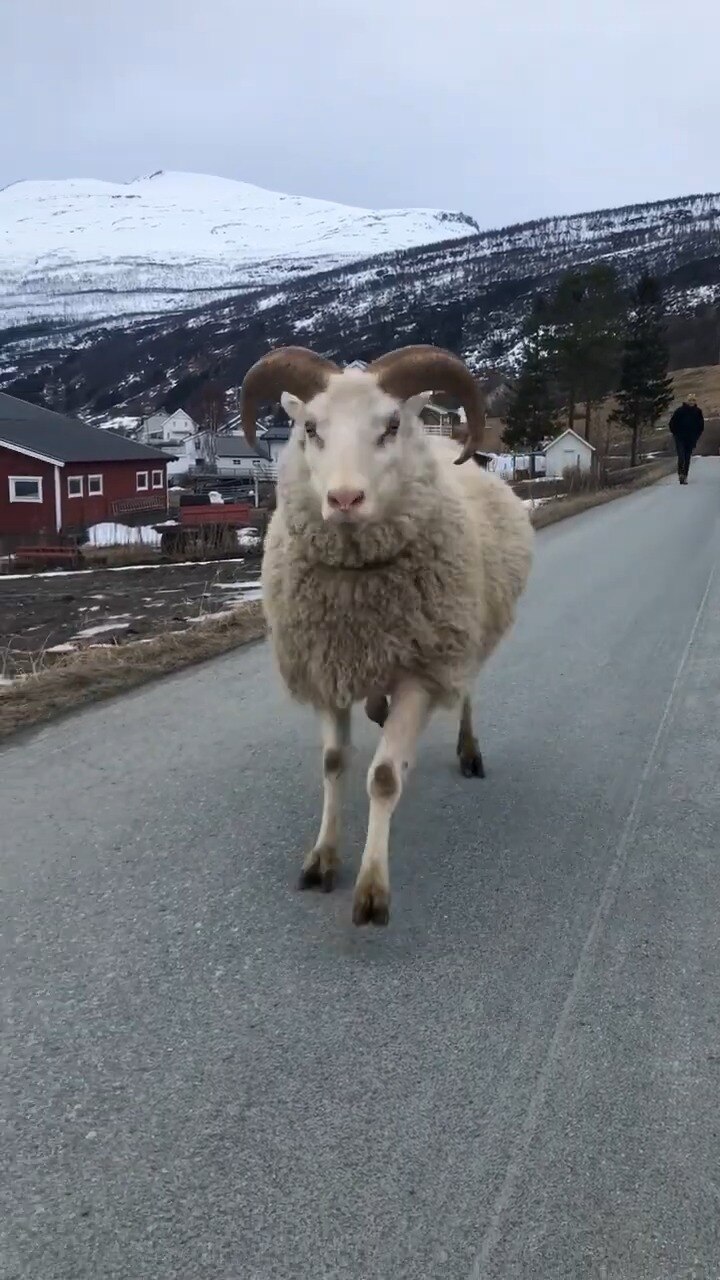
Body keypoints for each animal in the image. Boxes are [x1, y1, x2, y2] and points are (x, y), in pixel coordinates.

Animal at [240, 345, 534, 927]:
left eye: (391, 425)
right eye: (310, 428)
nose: (344, 499)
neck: (358, 593)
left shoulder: (421, 672)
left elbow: (383, 778)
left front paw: (372, 890)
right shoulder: (326, 667)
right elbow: (334, 764)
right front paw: (322, 859)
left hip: (462, 639)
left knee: (465, 692)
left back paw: (469, 752)